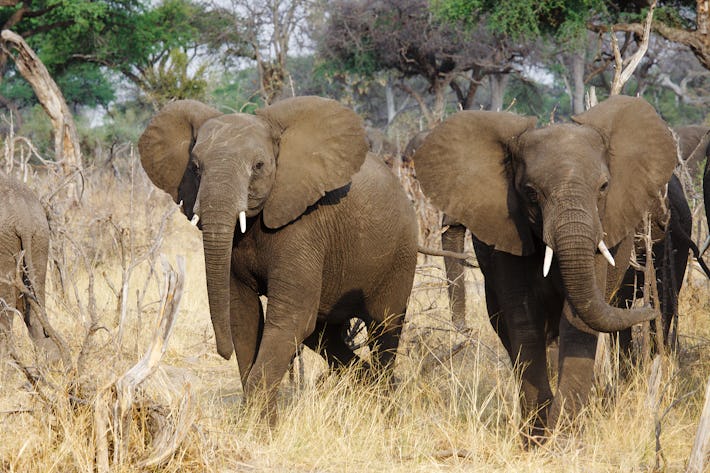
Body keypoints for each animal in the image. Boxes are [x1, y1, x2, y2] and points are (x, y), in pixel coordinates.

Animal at [138, 96, 418, 419]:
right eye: (195, 167)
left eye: (258, 166)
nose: (223, 352)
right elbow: (244, 317)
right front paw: (257, 422)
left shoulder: (305, 225)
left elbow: (289, 319)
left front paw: (256, 423)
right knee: (323, 334)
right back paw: (368, 385)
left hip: (401, 253)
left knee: (385, 327)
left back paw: (385, 407)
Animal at [413, 96, 678, 436]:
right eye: (530, 193)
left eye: (604, 187)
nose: (651, 311)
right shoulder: (510, 232)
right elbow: (524, 322)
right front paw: (538, 436)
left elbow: (578, 322)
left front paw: (562, 436)